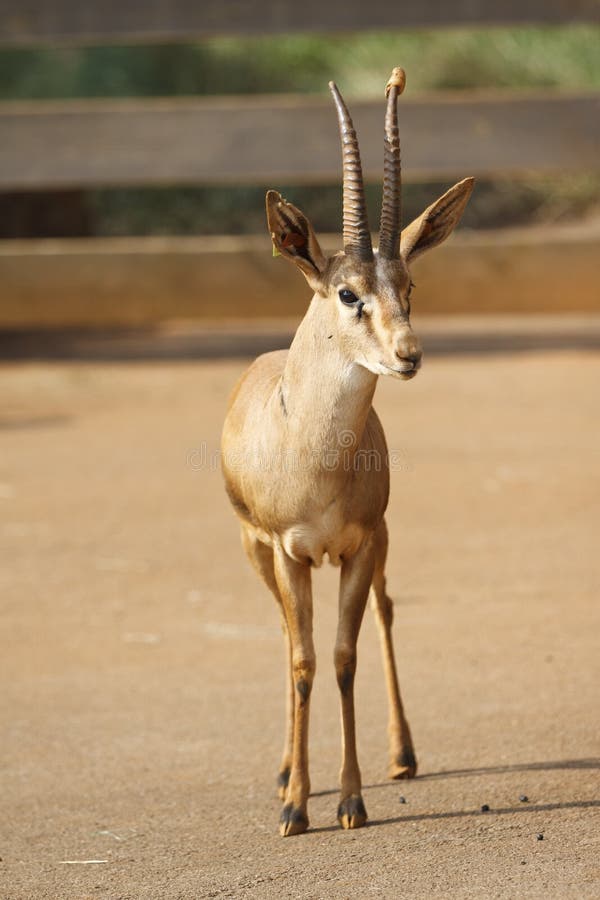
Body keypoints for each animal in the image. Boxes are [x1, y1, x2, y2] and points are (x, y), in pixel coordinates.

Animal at [221, 67, 473, 836]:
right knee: (284, 641)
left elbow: (342, 657)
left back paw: (403, 757)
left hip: (379, 545)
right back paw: (282, 775)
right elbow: (304, 660)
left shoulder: (360, 544)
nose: (409, 354)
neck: (313, 461)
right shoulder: (288, 551)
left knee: (386, 611)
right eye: (347, 291)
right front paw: (295, 807)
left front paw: (353, 799)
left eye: (409, 285)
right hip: (257, 553)